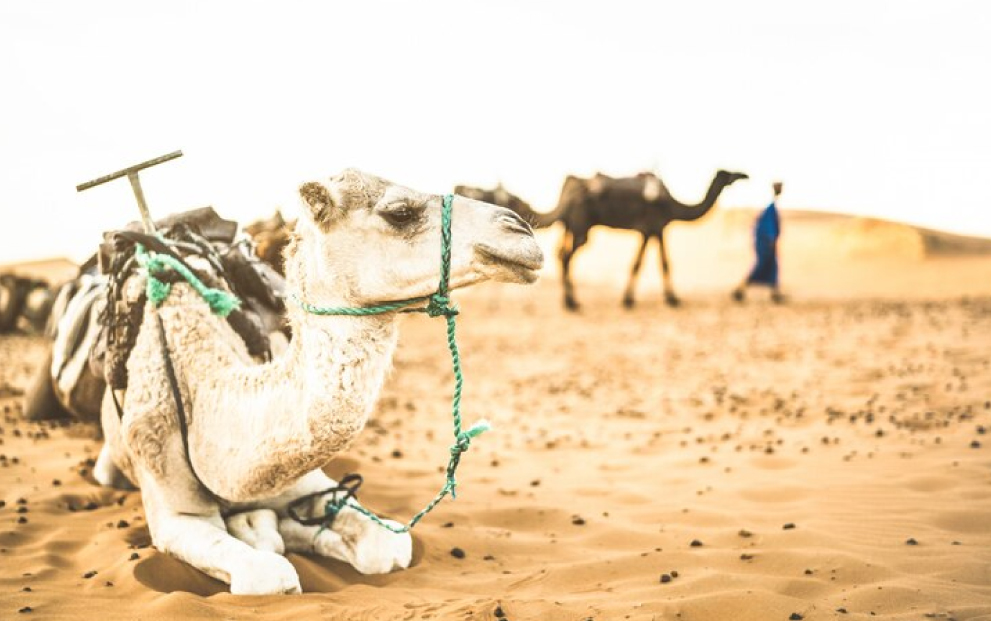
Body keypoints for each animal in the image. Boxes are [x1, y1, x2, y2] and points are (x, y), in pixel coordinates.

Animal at [93, 169, 543, 594]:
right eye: (400, 212)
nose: (521, 229)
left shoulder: (306, 481)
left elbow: (388, 547)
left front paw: (283, 530)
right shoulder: (172, 507)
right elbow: (269, 575)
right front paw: (262, 532)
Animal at [537, 170, 748, 310]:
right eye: (730, 174)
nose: (744, 175)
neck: (673, 206)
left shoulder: (652, 231)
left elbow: (651, 262)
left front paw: (634, 299)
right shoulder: (654, 227)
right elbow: (654, 263)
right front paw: (670, 300)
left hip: (570, 226)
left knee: (560, 254)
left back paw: (569, 301)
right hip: (581, 226)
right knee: (567, 257)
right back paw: (571, 303)